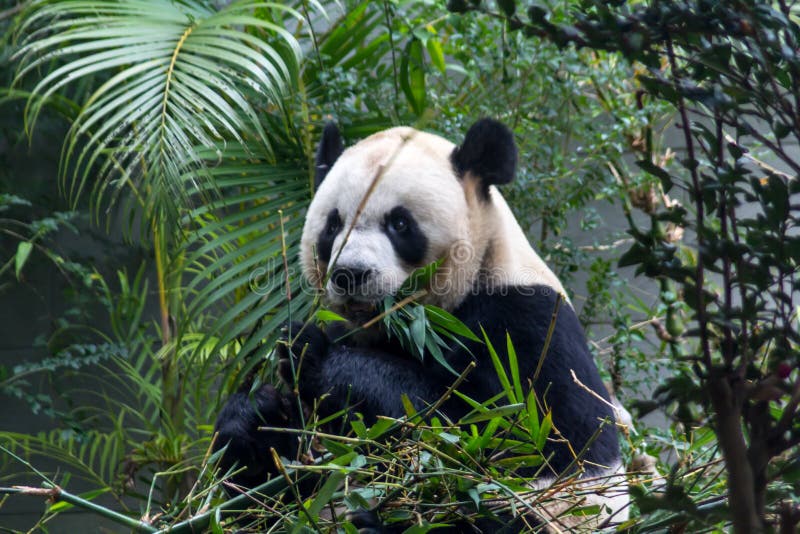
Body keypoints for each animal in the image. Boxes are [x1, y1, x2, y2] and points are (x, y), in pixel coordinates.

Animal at [214, 119, 629, 531]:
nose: (351, 274)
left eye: (400, 223)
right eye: (333, 225)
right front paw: (255, 414)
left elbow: (516, 435)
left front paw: (315, 354)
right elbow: (280, 487)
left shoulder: (528, 322)